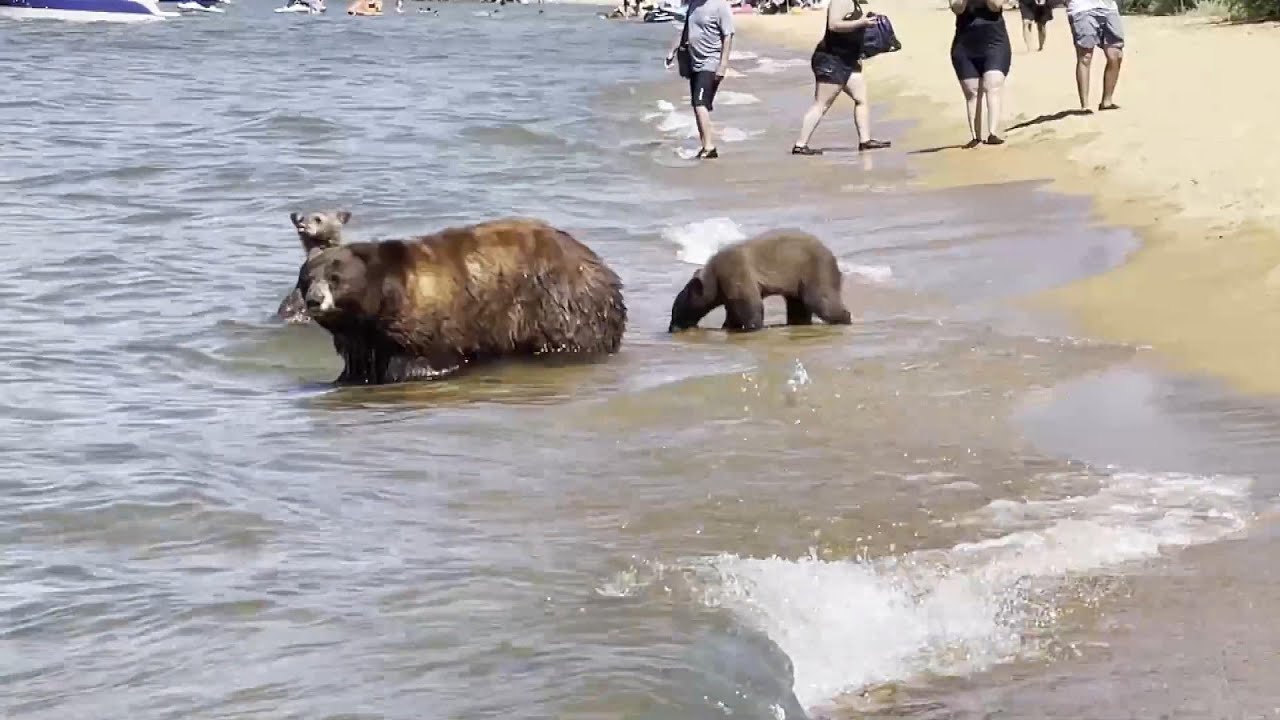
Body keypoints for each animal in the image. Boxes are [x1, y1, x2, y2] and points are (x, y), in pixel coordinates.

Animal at [293, 217, 627, 385]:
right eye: (307, 278)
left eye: (335, 277)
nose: (315, 300)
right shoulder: (364, 338)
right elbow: (359, 363)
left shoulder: (431, 324)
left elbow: (423, 361)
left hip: (560, 305)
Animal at [667, 229, 853, 333]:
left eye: (675, 310)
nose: (671, 328)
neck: (714, 278)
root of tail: (832, 255)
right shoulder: (727, 288)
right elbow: (733, 311)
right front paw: (729, 326)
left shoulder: (735, 272)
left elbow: (749, 304)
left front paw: (752, 327)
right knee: (798, 306)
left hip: (814, 270)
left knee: (821, 301)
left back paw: (844, 319)